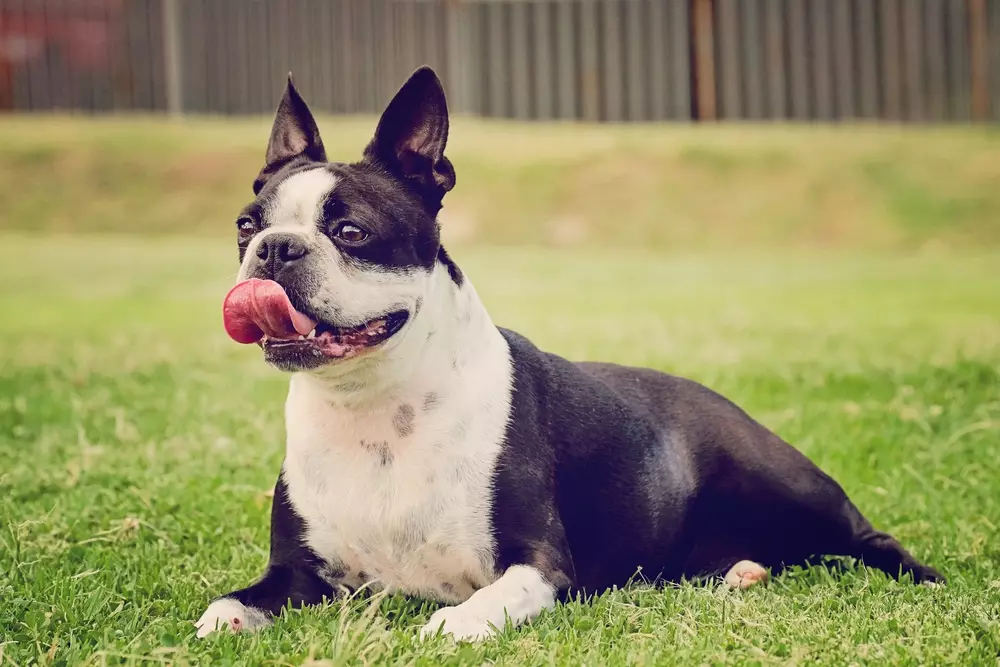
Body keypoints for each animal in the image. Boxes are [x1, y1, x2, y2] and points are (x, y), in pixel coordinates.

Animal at [193, 66, 936, 640]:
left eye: (351, 231)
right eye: (246, 226)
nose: (275, 249)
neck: (374, 407)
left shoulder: (540, 564)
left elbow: (478, 604)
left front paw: (454, 620)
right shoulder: (298, 573)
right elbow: (232, 603)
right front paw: (222, 618)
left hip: (784, 481)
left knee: (864, 538)